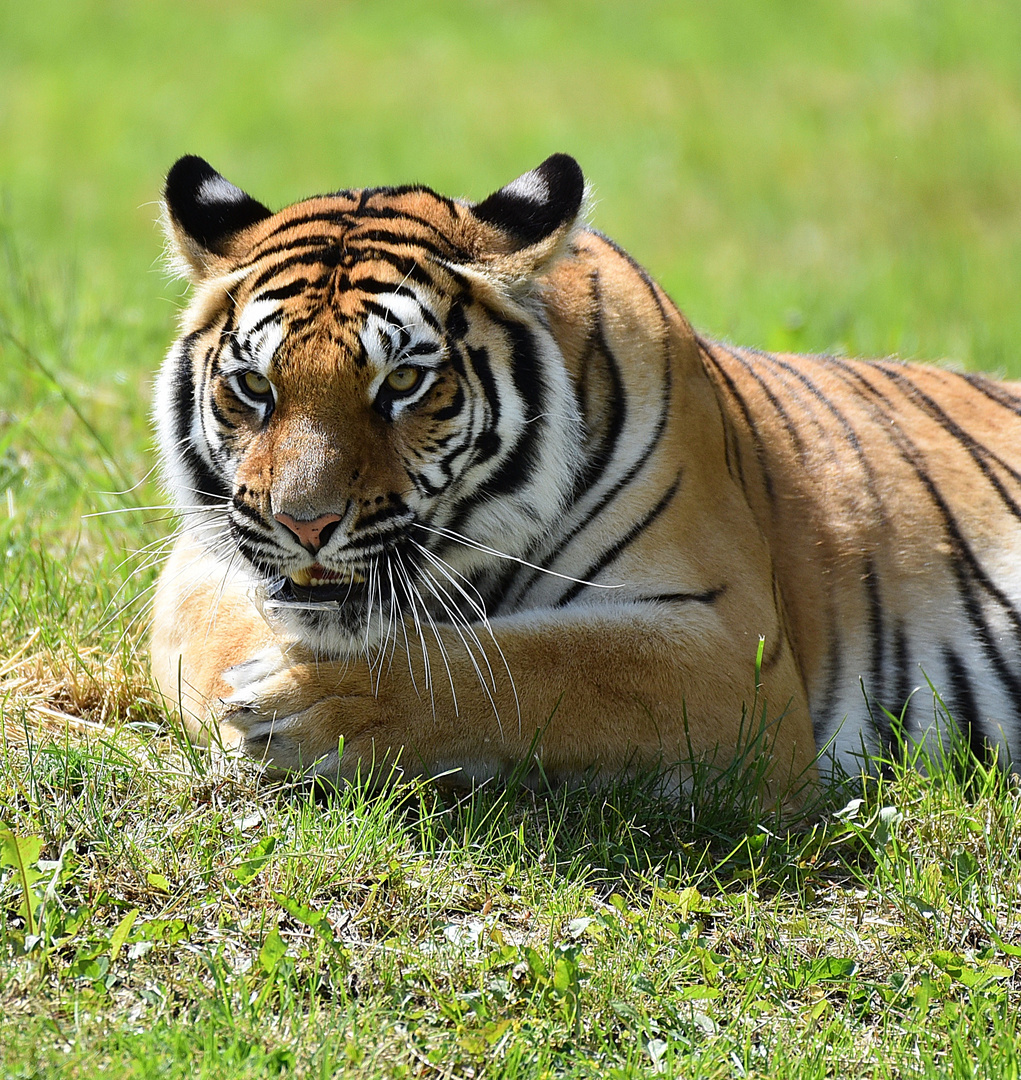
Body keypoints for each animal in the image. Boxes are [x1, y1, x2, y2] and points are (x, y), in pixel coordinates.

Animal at [146, 152, 1019, 803]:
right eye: (254, 386)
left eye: (403, 383)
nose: (304, 525)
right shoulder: (201, 565)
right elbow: (232, 638)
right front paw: (250, 707)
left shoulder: (729, 647)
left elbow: (537, 667)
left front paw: (311, 707)